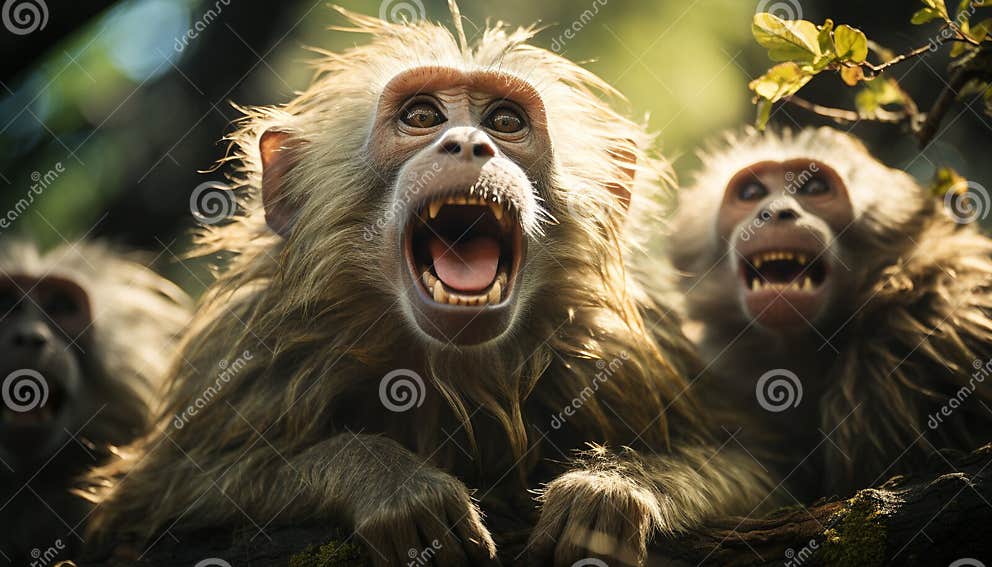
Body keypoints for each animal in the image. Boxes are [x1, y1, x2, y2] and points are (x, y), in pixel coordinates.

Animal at [85, 8, 772, 567]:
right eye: (422, 116)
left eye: (504, 120)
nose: (468, 142)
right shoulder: (251, 345)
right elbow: (149, 501)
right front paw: (385, 480)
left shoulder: (631, 348)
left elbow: (752, 467)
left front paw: (614, 488)